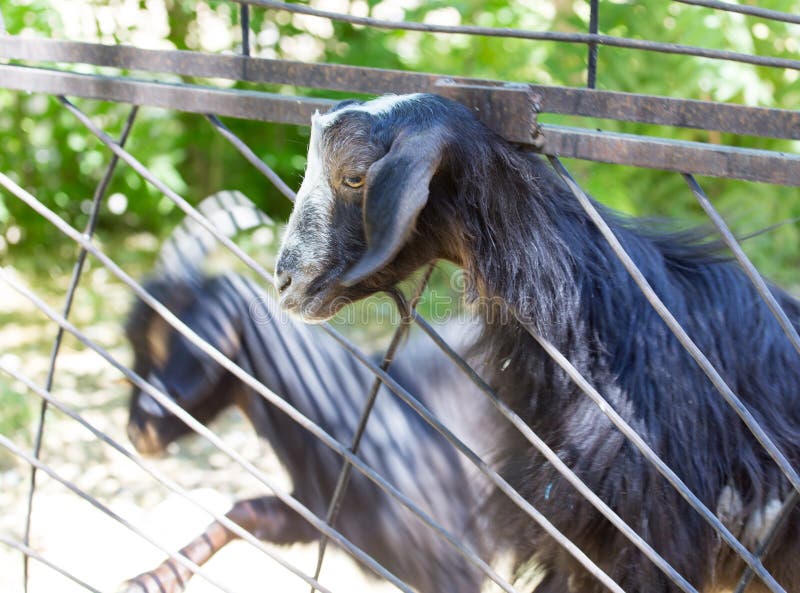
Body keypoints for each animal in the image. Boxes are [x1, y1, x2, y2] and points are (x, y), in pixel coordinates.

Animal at [121, 191, 497, 593]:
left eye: (168, 337)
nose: (138, 431)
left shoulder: (454, 564)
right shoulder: (322, 517)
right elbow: (243, 512)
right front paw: (152, 578)